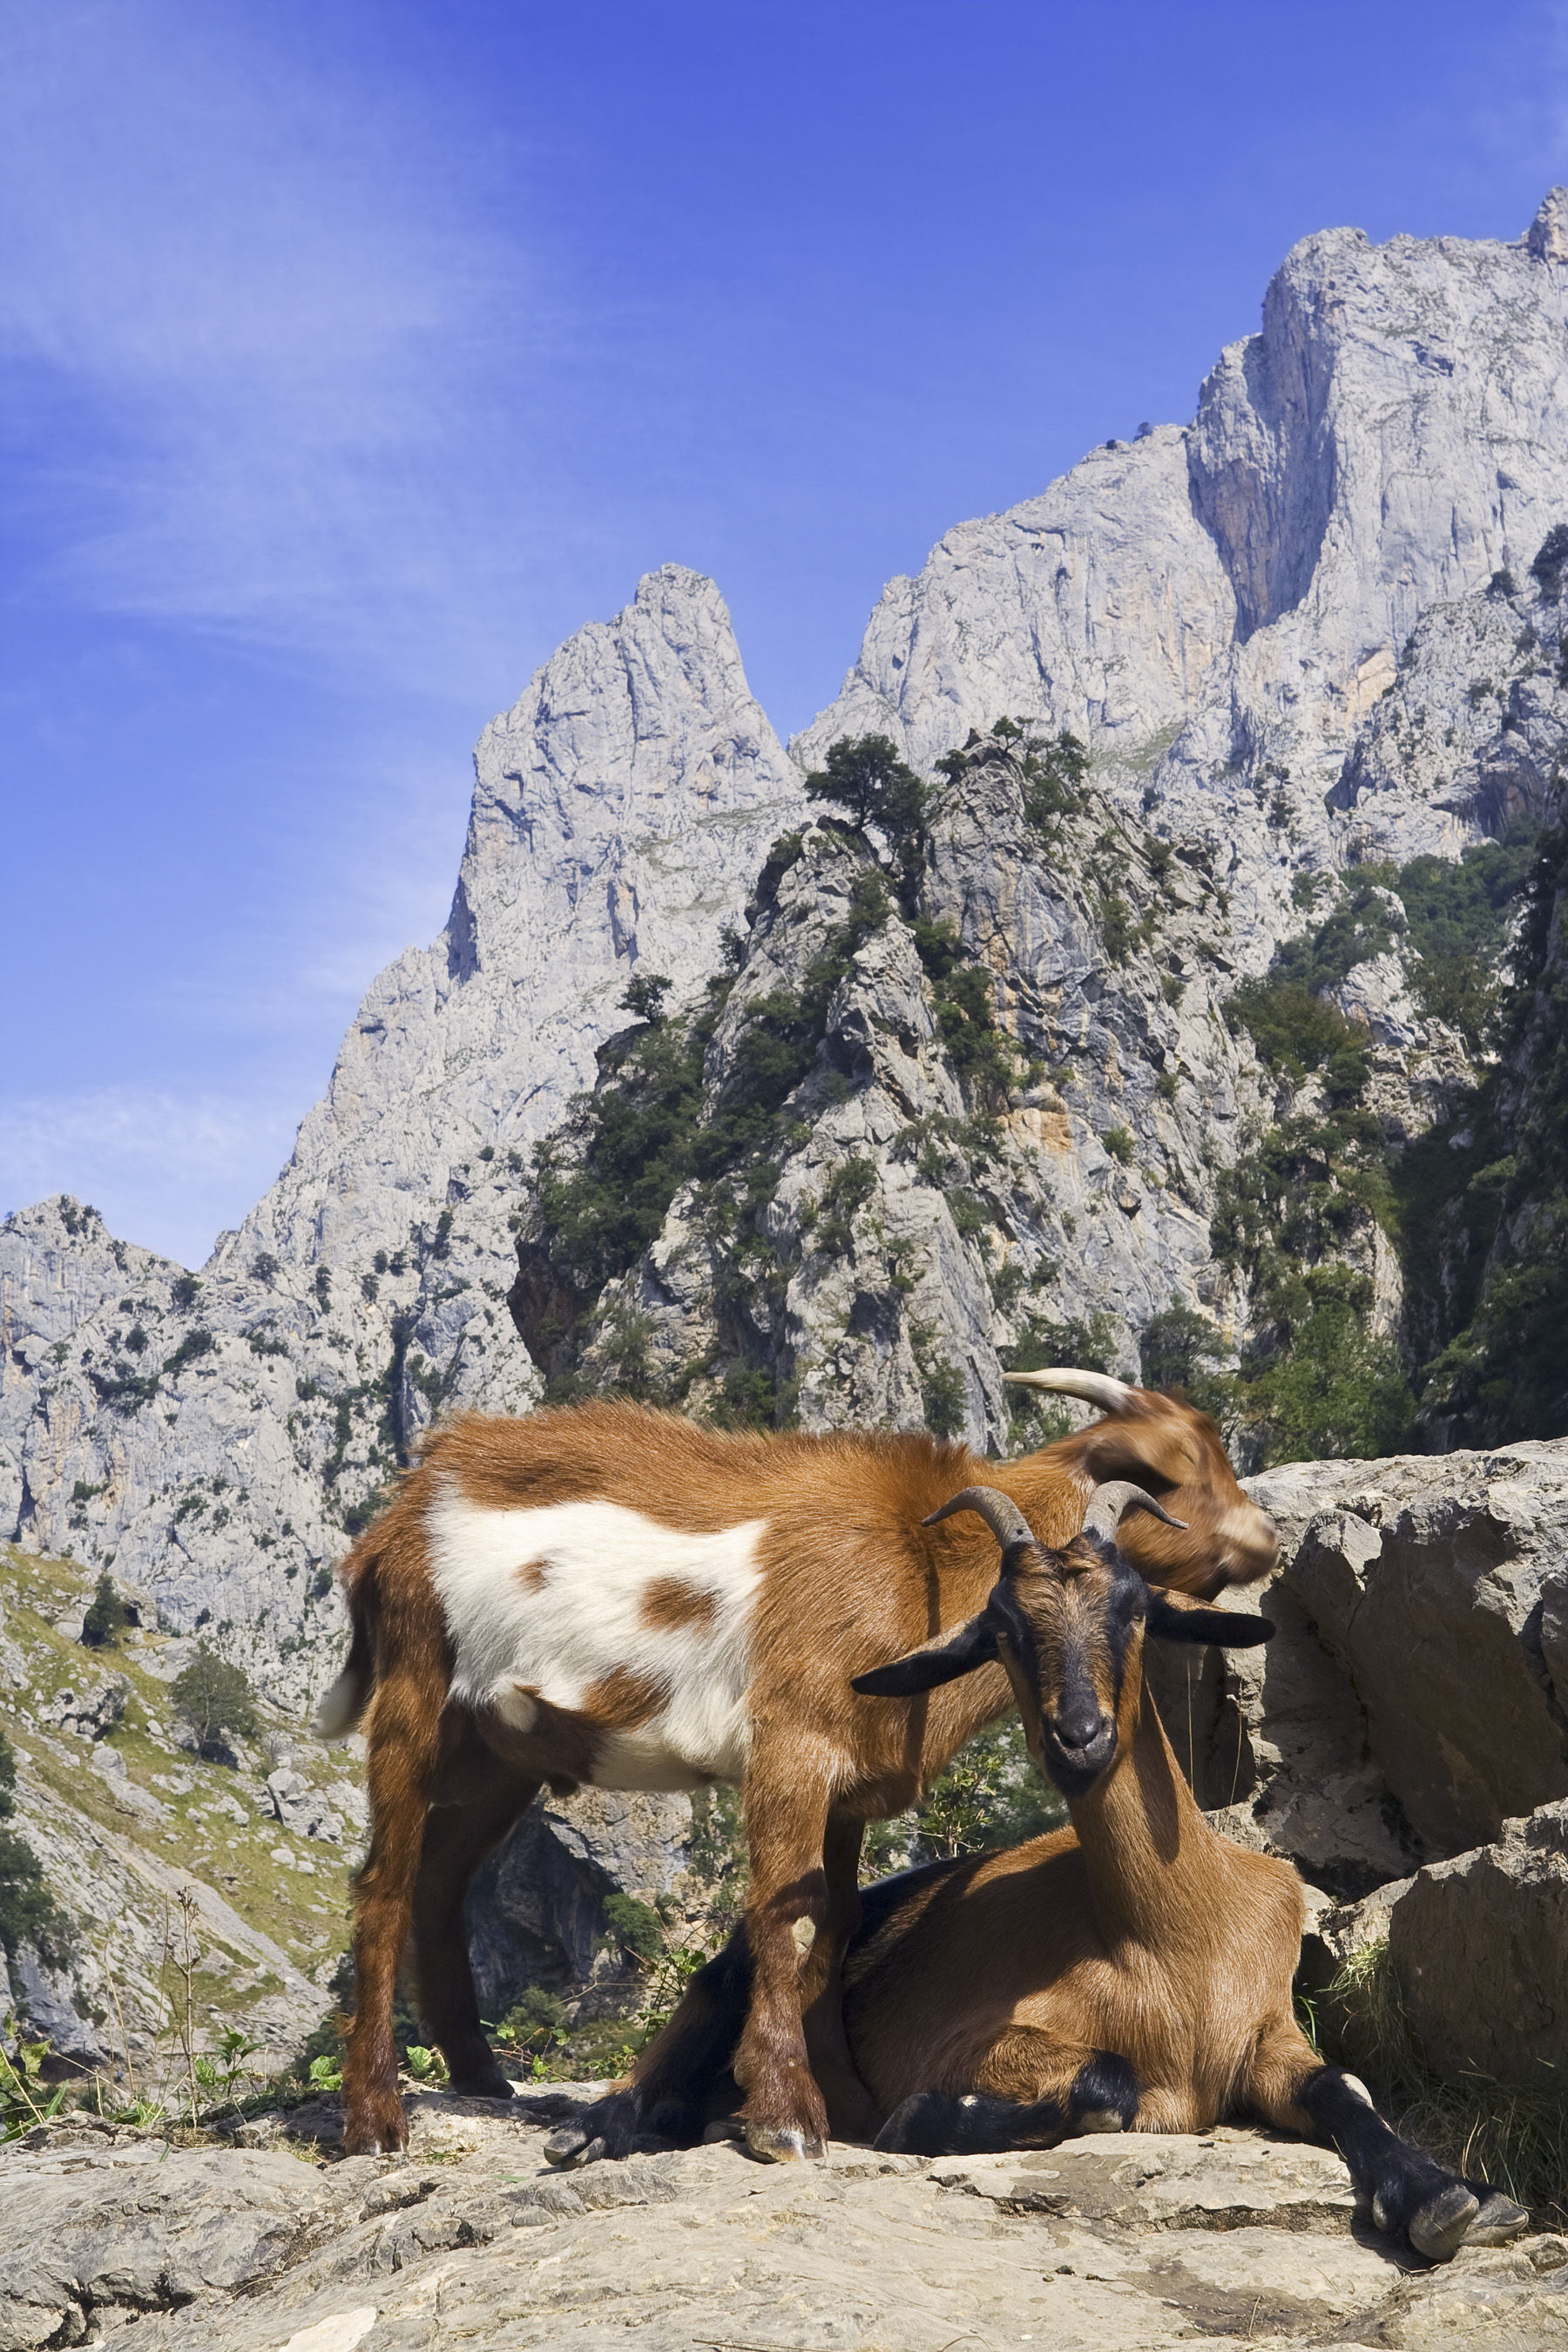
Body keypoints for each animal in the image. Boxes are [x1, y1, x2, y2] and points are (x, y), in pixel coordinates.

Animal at [320, 1375, 1277, 2159]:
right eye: (1183, 1466)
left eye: (1131, 1611)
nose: (1267, 1537)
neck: (916, 1555)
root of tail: (393, 1524)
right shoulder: (790, 1750)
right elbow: (789, 1917)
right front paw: (781, 2119)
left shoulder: (853, 1786)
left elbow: (839, 1926)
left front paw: (841, 2105)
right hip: (416, 1692)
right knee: (383, 1889)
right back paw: (375, 2123)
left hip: (499, 1753)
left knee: (438, 1884)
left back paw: (483, 2080)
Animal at [548, 1481, 1526, 2265]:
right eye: (1004, 1631)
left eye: (1134, 1609)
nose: (1079, 1738)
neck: (1178, 1934)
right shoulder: (970, 2038)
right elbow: (1106, 2083)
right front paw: (923, 2120)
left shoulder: (1265, 2029)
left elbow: (1340, 2085)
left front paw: (1450, 2196)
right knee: (704, 2004)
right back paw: (596, 2130)